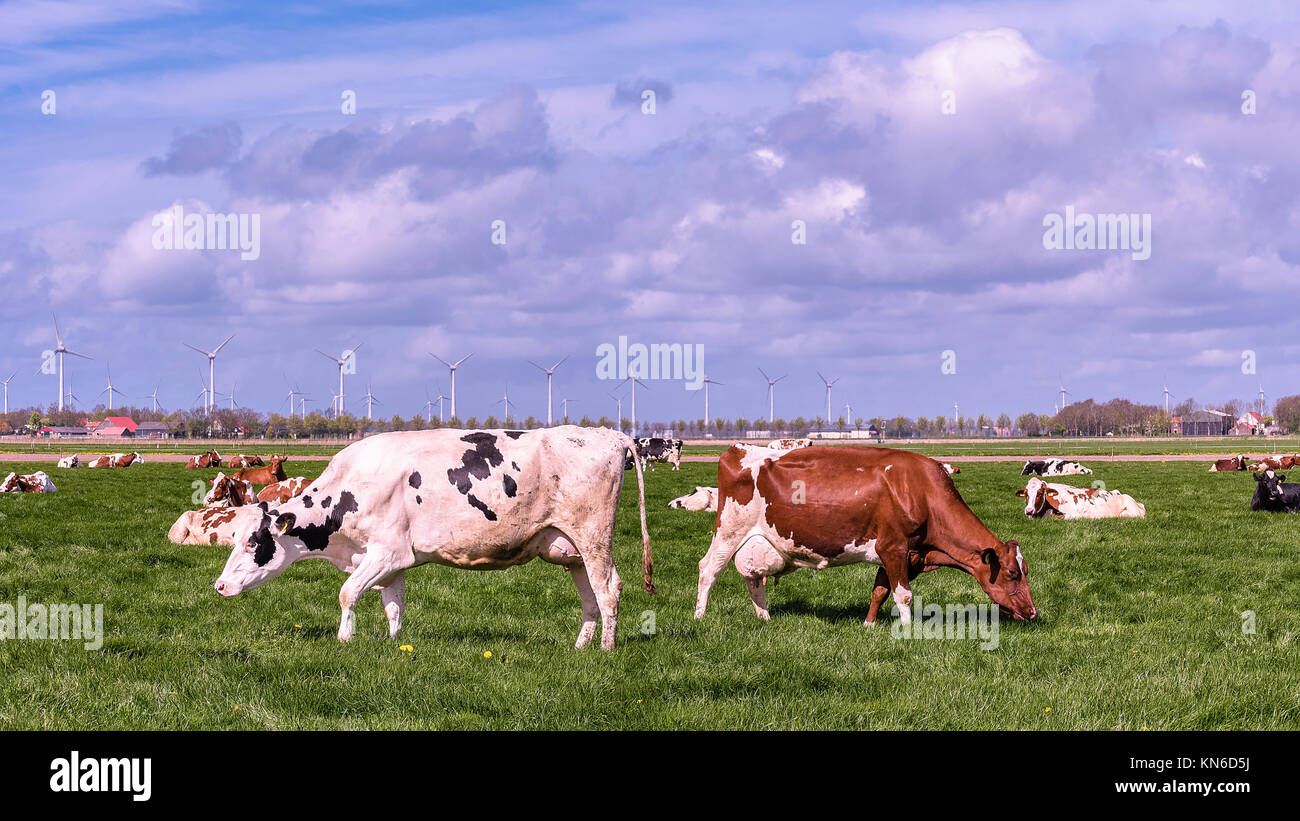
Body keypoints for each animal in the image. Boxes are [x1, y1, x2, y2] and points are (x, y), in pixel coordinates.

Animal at [213, 426, 652, 650]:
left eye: (253, 542)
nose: (219, 586)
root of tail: (609, 434)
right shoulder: (393, 562)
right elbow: (393, 606)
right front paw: (394, 644)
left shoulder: (384, 553)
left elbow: (347, 593)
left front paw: (345, 638)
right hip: (570, 550)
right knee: (590, 597)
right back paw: (580, 646)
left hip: (593, 538)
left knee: (609, 588)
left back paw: (607, 649)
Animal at [693, 444, 1037, 625]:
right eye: (1011, 573)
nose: (1032, 612)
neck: (922, 491)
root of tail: (739, 449)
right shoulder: (894, 548)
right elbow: (903, 594)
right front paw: (908, 630)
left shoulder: (903, 554)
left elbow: (880, 591)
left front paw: (869, 624)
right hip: (728, 531)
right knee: (709, 569)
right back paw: (699, 617)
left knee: (754, 579)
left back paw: (764, 618)